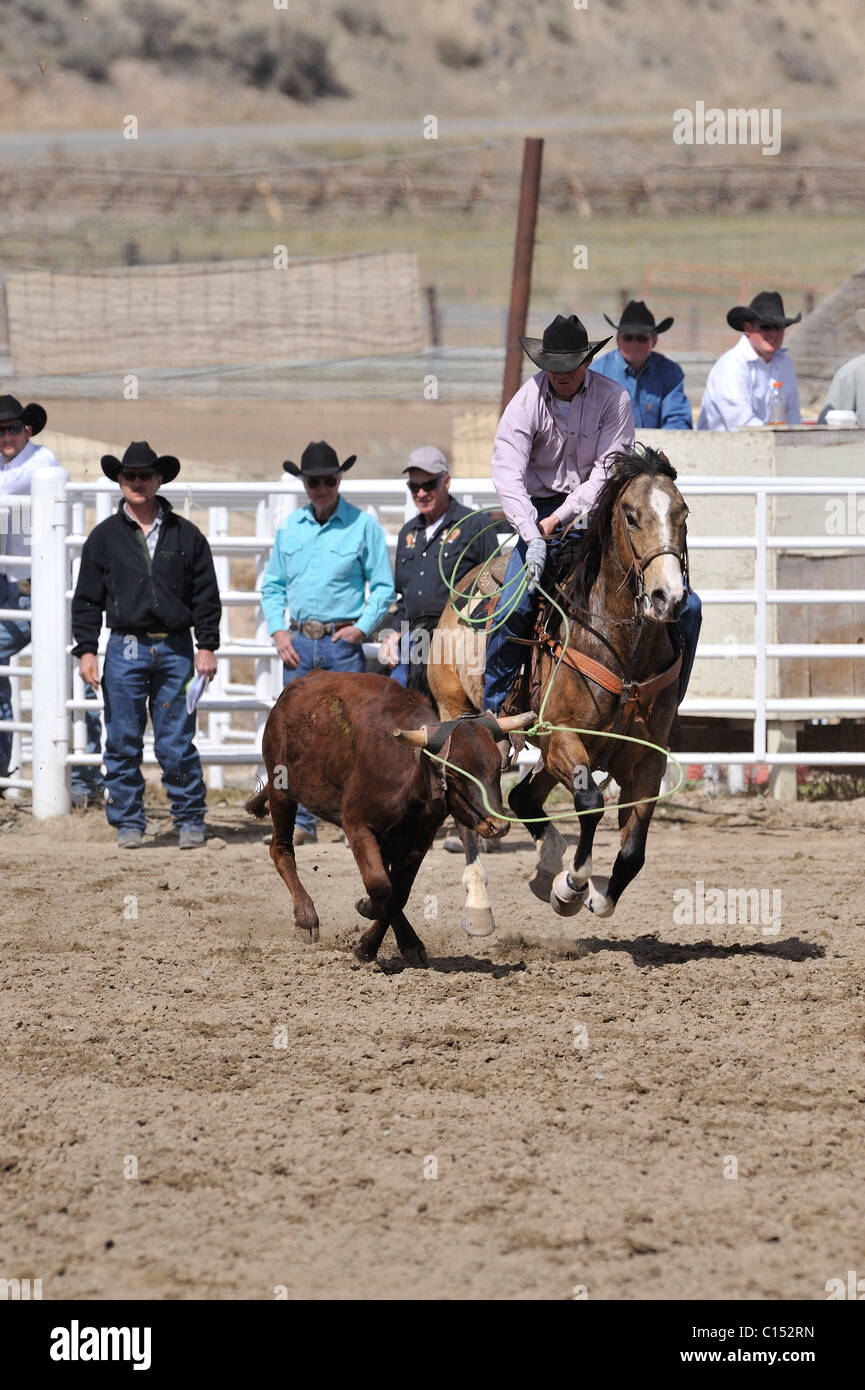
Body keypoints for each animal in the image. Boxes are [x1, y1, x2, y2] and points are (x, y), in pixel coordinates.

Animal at [245, 670, 532, 965]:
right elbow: (380, 885)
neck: (407, 775)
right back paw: (305, 917)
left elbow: (397, 896)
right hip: (281, 790)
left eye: (497, 767)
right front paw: (366, 908)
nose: (498, 825)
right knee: (280, 848)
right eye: (454, 773)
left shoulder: (417, 843)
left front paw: (375, 945)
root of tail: (291, 692)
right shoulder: (357, 825)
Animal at [427, 444, 690, 922]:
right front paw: (571, 886)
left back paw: (545, 864)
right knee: (471, 801)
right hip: (458, 713)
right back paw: (480, 900)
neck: (621, 650)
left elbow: (634, 848)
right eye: (630, 515)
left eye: (682, 513)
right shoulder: (563, 737)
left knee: (522, 798)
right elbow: (589, 804)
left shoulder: (647, 757)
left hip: (546, 756)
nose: (669, 597)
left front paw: (599, 895)